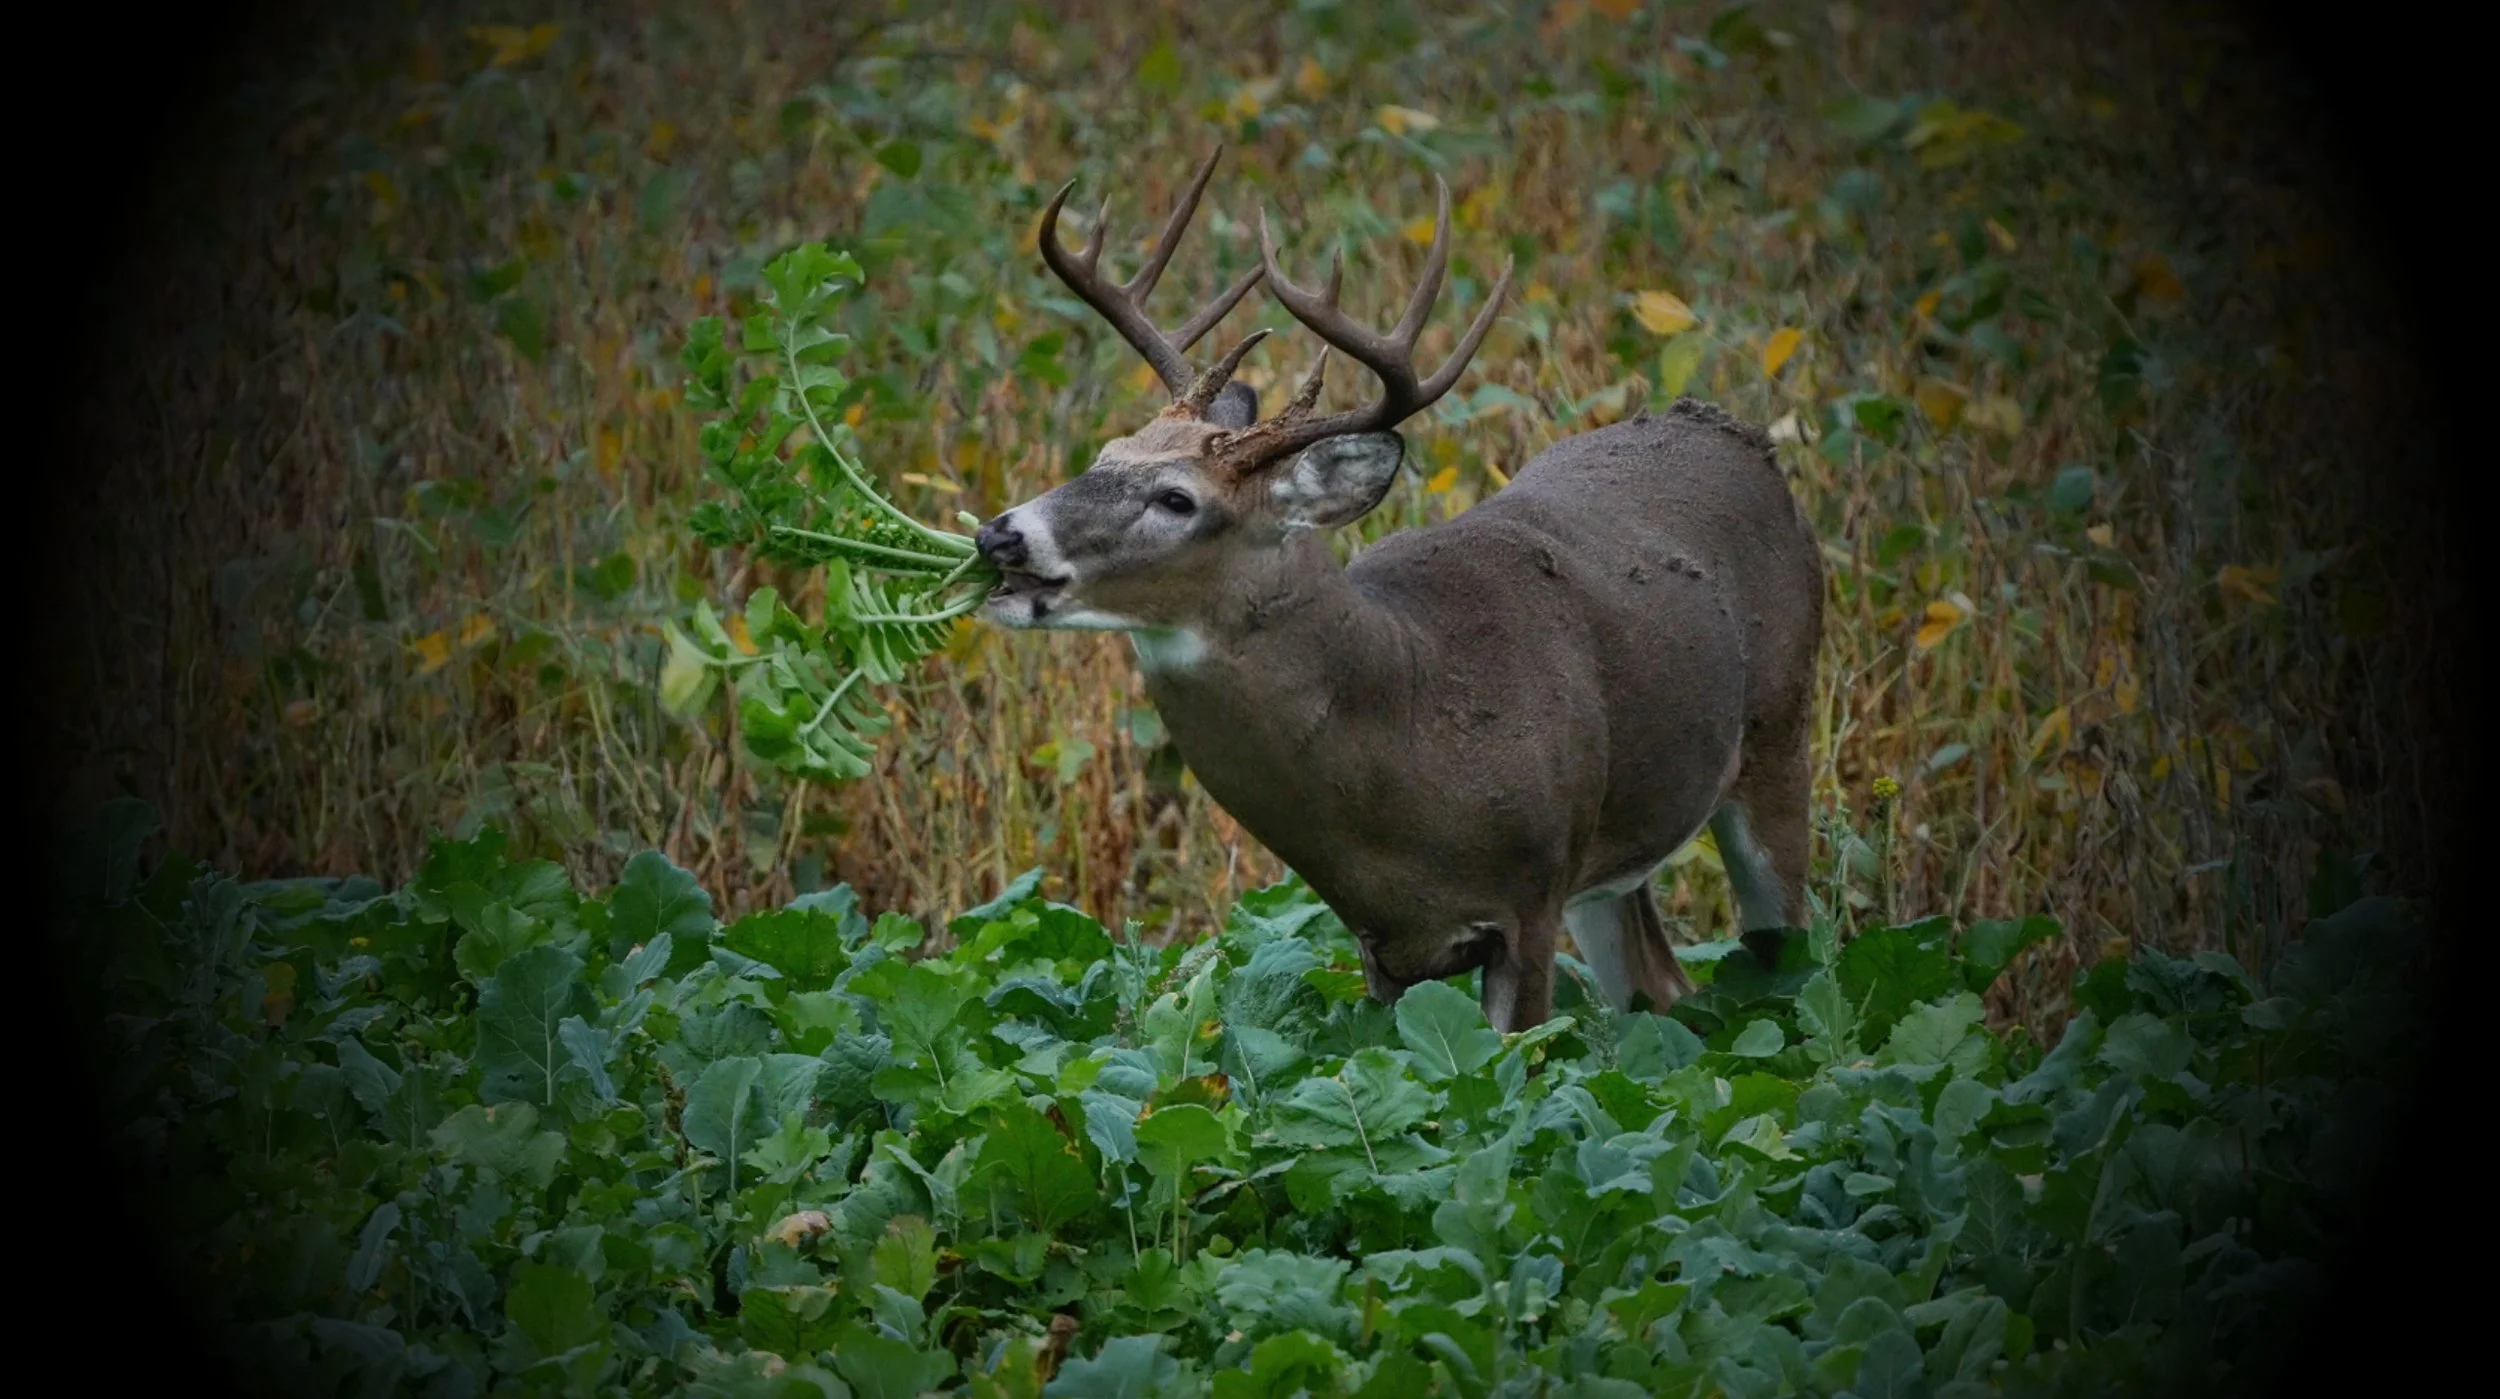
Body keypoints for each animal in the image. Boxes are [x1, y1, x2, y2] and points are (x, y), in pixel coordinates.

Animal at [976, 149, 1824, 1032]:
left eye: (1177, 499)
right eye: (1108, 451)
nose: (1000, 536)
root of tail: (1739, 436)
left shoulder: (1531, 892)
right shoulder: (1383, 949)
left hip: (1779, 737)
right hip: (1615, 852)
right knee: (1658, 989)